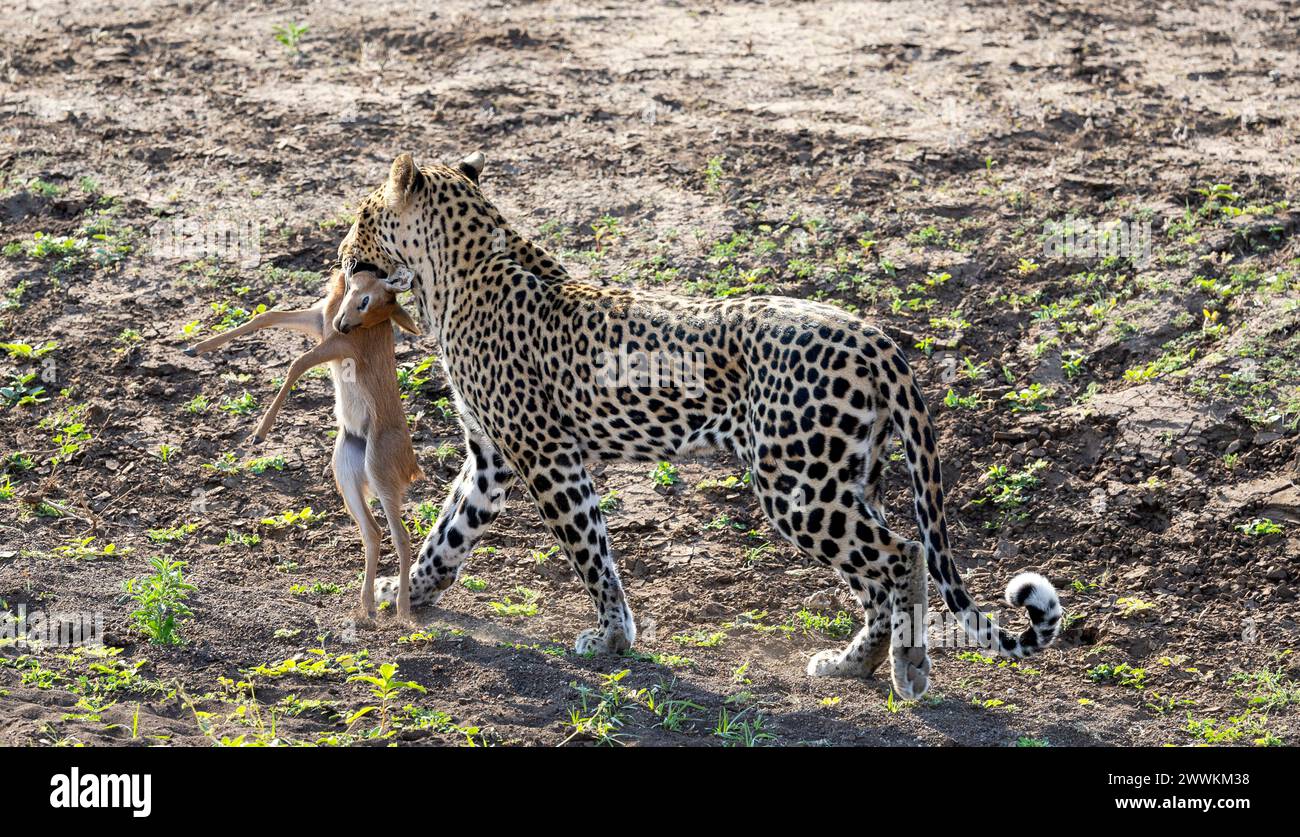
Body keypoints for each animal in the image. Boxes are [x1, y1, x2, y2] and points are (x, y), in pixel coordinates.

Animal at [335, 151, 1062, 698]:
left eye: (363, 218)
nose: (340, 253)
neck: (458, 273)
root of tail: (875, 335)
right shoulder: (491, 458)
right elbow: (447, 534)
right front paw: (408, 592)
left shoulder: (545, 454)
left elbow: (589, 549)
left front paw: (611, 637)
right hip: (844, 477)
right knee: (876, 574)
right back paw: (850, 664)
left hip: (798, 487)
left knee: (902, 554)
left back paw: (909, 670)